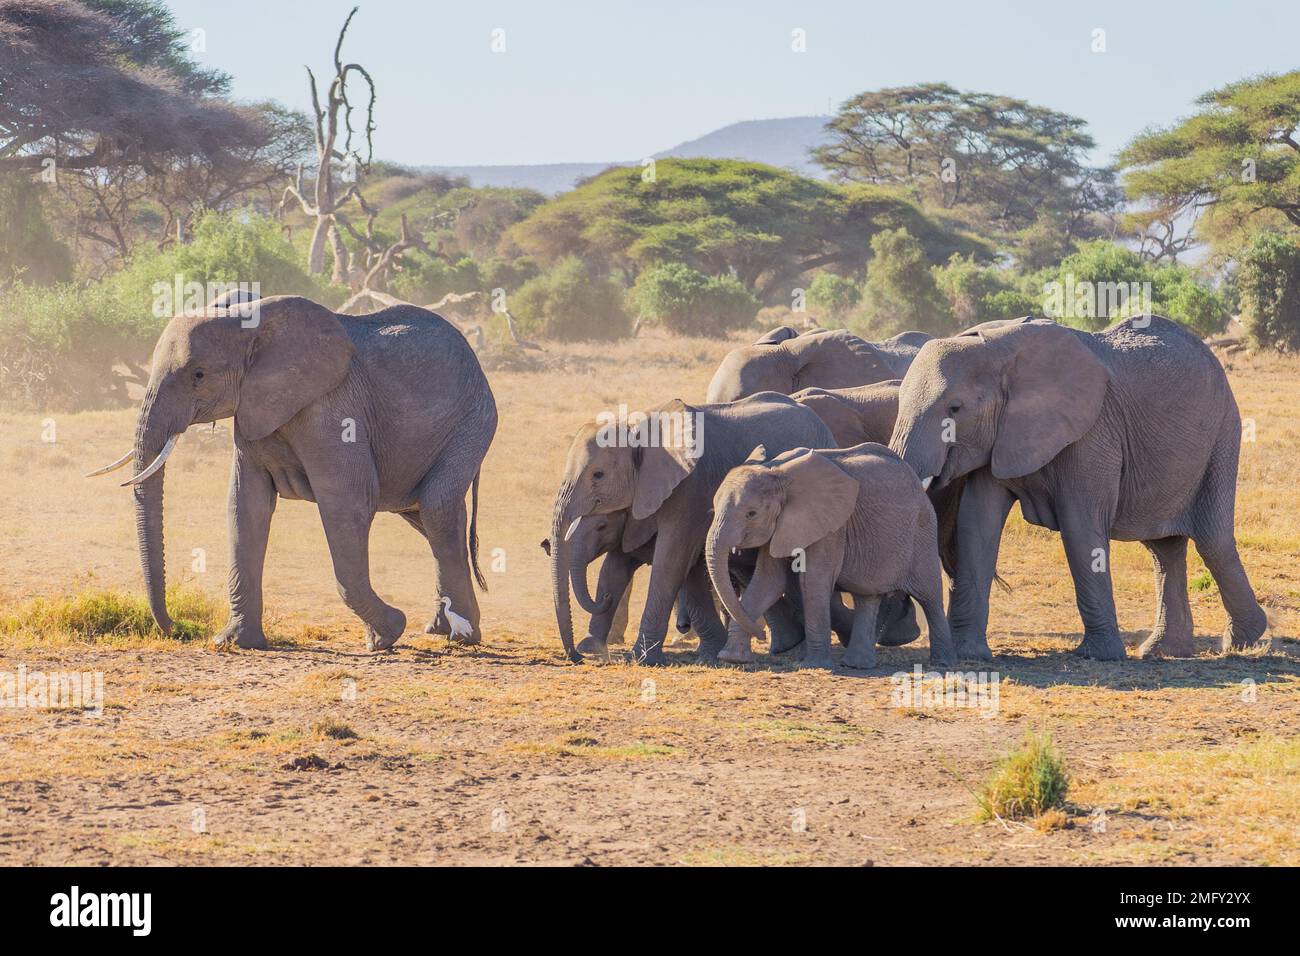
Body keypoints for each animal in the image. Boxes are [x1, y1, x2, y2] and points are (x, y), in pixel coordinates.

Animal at [88, 294, 497, 651]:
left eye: (199, 375)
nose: (175, 627)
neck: (248, 322)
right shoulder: (252, 411)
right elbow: (245, 506)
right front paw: (236, 643)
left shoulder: (333, 409)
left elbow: (347, 503)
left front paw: (386, 636)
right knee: (427, 515)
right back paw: (446, 629)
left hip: (473, 421)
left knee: (436, 507)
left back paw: (460, 635)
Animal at [549, 392, 835, 664]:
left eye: (597, 475)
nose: (575, 658)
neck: (637, 426)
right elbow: (622, 567)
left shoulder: (691, 487)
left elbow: (671, 559)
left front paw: (642, 659)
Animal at [705, 444, 956, 670]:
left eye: (752, 514)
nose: (761, 636)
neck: (776, 471)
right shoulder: (782, 527)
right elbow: (767, 581)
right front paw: (731, 658)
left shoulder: (831, 528)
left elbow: (813, 582)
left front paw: (813, 665)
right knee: (867, 596)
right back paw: (857, 665)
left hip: (922, 533)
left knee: (929, 596)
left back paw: (942, 662)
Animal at [889, 314, 1268, 661]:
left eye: (955, 409)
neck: (999, 350)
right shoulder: (998, 437)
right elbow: (977, 525)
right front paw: (972, 655)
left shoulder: (1092, 432)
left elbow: (1081, 528)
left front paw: (1098, 655)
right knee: (1164, 549)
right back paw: (1162, 650)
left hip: (1223, 434)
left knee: (1212, 541)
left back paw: (1242, 641)